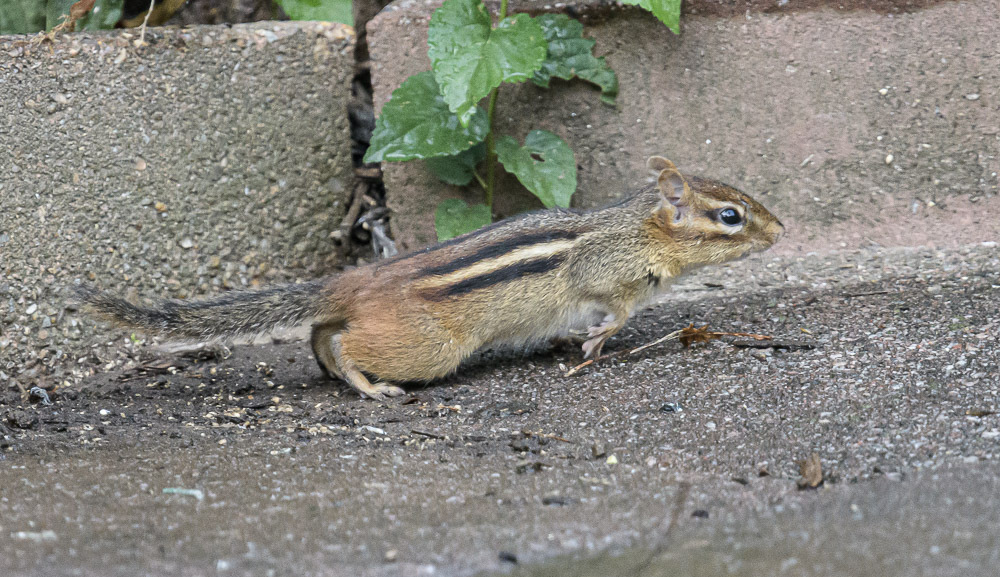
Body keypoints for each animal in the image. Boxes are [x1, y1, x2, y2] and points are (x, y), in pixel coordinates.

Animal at [77, 157, 784, 400]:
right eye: (730, 216)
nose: (781, 231)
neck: (636, 228)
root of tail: (356, 280)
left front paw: (574, 341)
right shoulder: (609, 279)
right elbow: (614, 312)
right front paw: (594, 341)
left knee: (319, 335)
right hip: (429, 348)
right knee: (347, 343)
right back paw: (369, 387)